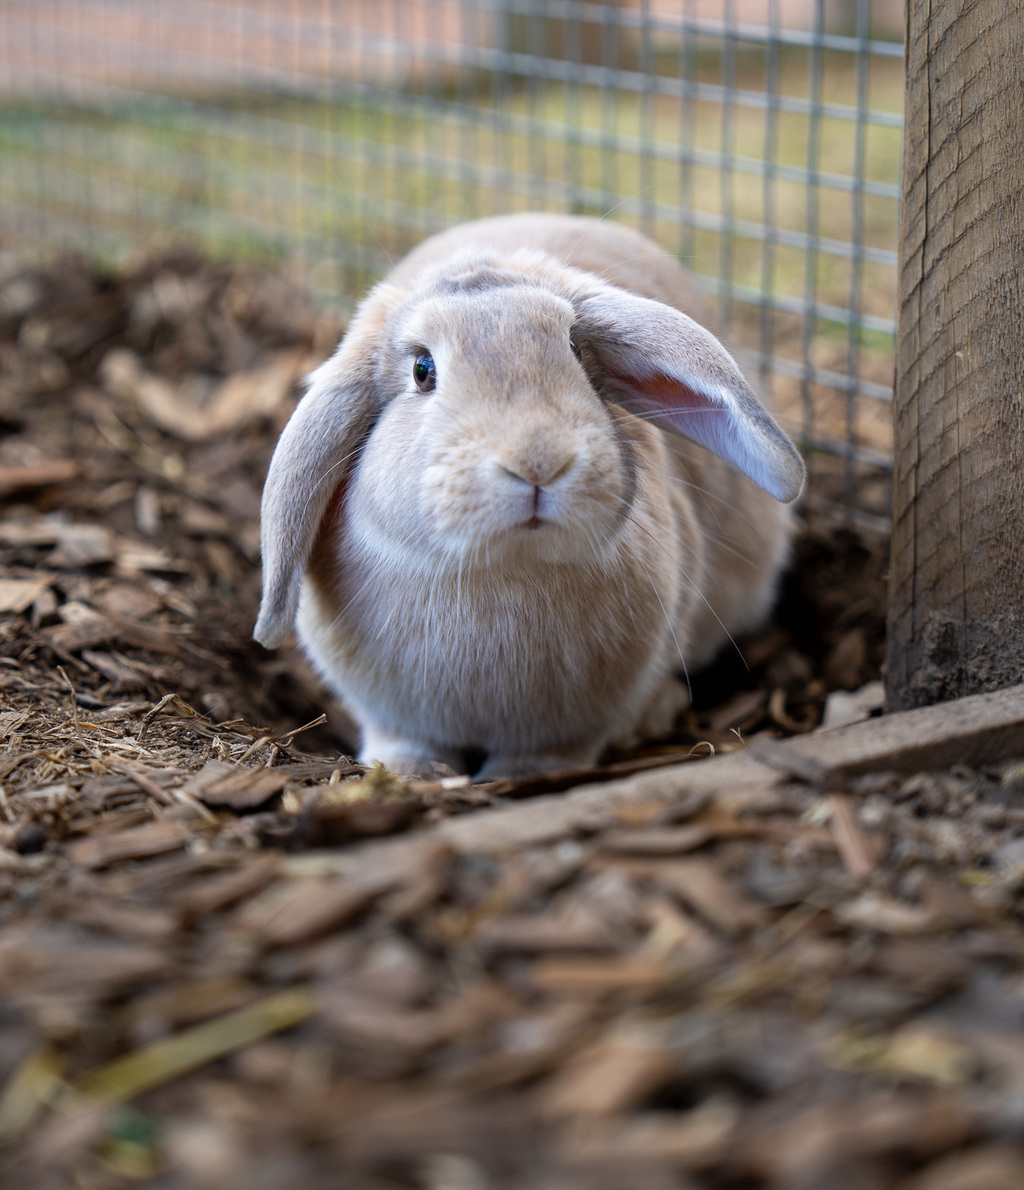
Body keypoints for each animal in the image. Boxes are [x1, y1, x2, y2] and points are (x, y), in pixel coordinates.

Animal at [254, 213, 805, 779]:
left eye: (575, 350)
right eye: (422, 370)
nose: (538, 461)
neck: (510, 567)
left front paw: (521, 775)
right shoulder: (391, 714)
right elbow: (405, 740)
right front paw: (411, 771)